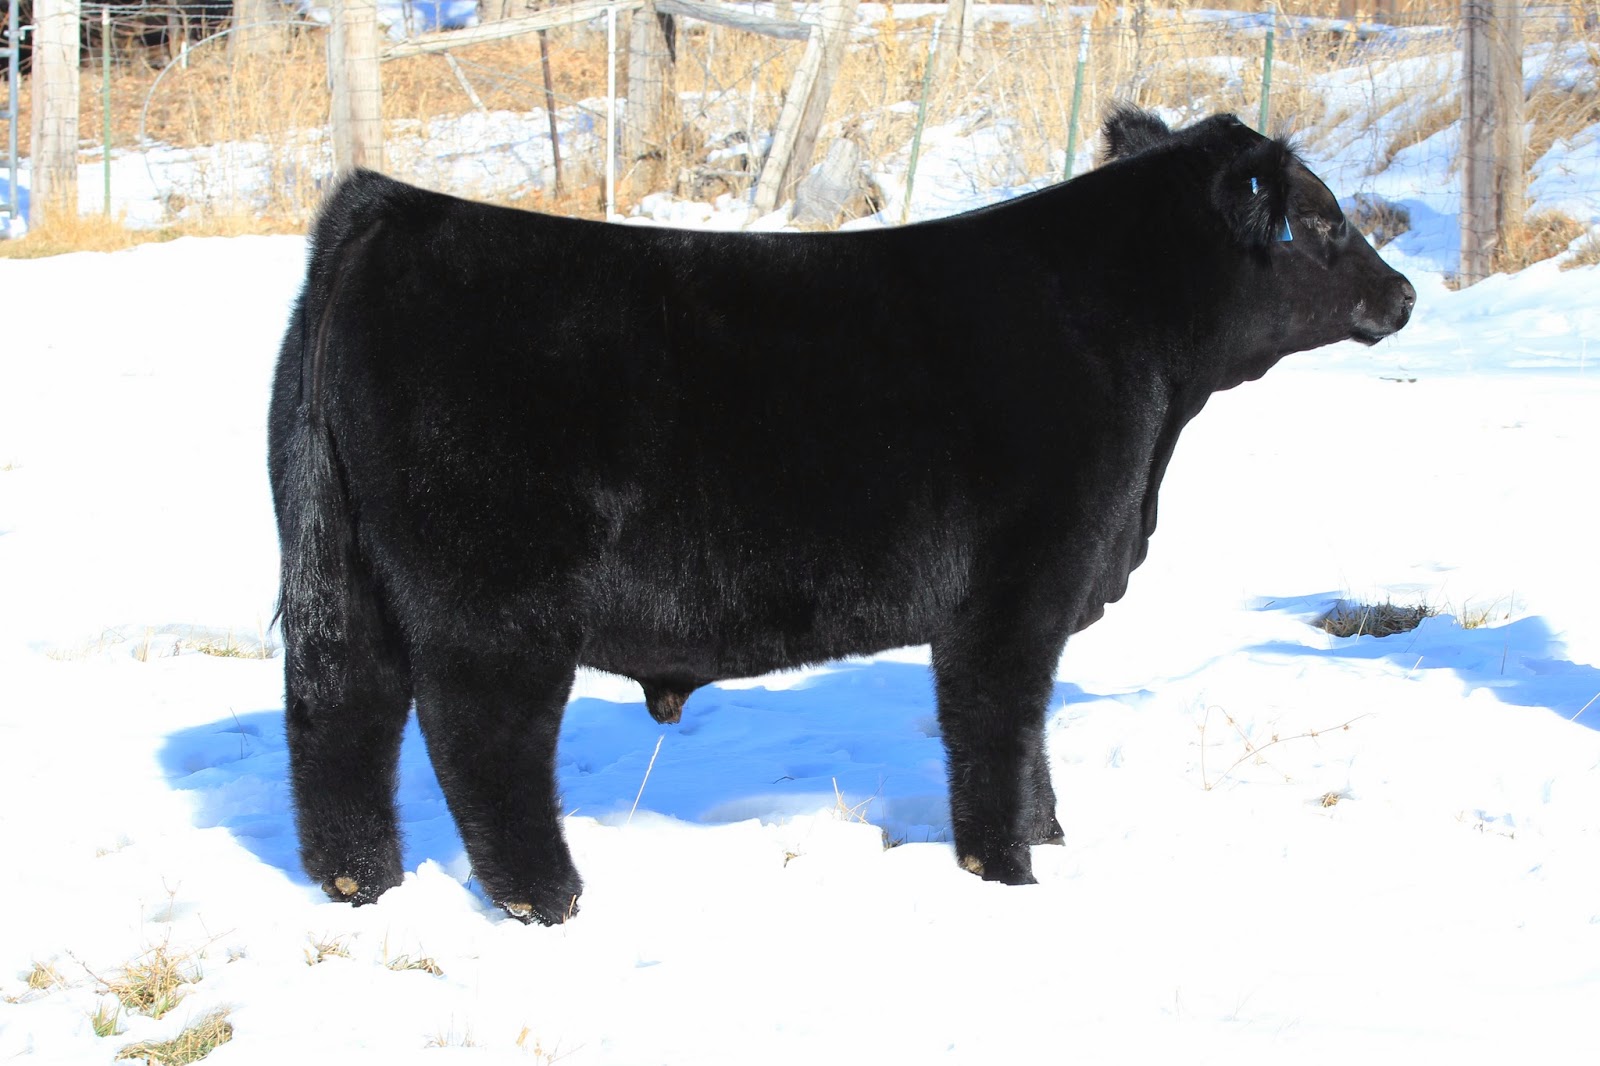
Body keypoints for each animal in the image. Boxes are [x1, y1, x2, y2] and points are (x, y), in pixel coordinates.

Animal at [269, 107, 1414, 925]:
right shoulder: (1017, 584)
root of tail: (388, 208)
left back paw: (362, 887)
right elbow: (997, 727)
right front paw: (1008, 873)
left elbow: (1030, 734)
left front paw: (1048, 836)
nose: (1403, 293)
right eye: (1321, 221)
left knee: (340, 723)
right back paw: (548, 902)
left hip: (348, 581)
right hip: (494, 606)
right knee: (480, 742)